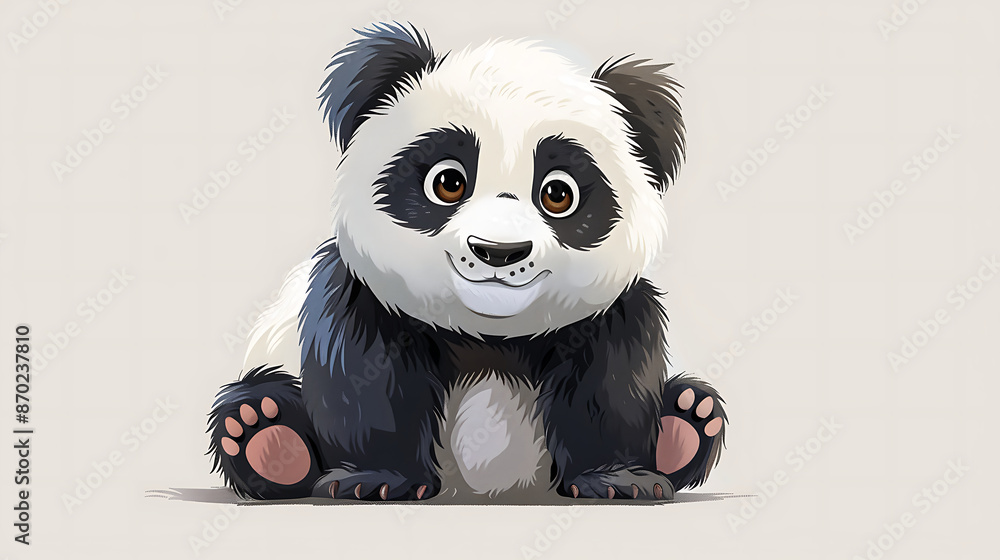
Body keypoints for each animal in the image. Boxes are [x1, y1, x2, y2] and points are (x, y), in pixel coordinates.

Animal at [207, 22, 727, 502]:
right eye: (448, 182)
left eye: (558, 194)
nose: (498, 252)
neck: (489, 332)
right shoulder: (366, 295)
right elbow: (366, 378)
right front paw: (375, 479)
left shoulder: (607, 312)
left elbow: (610, 385)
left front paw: (618, 479)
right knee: (258, 403)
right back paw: (268, 436)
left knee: (688, 402)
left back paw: (685, 424)